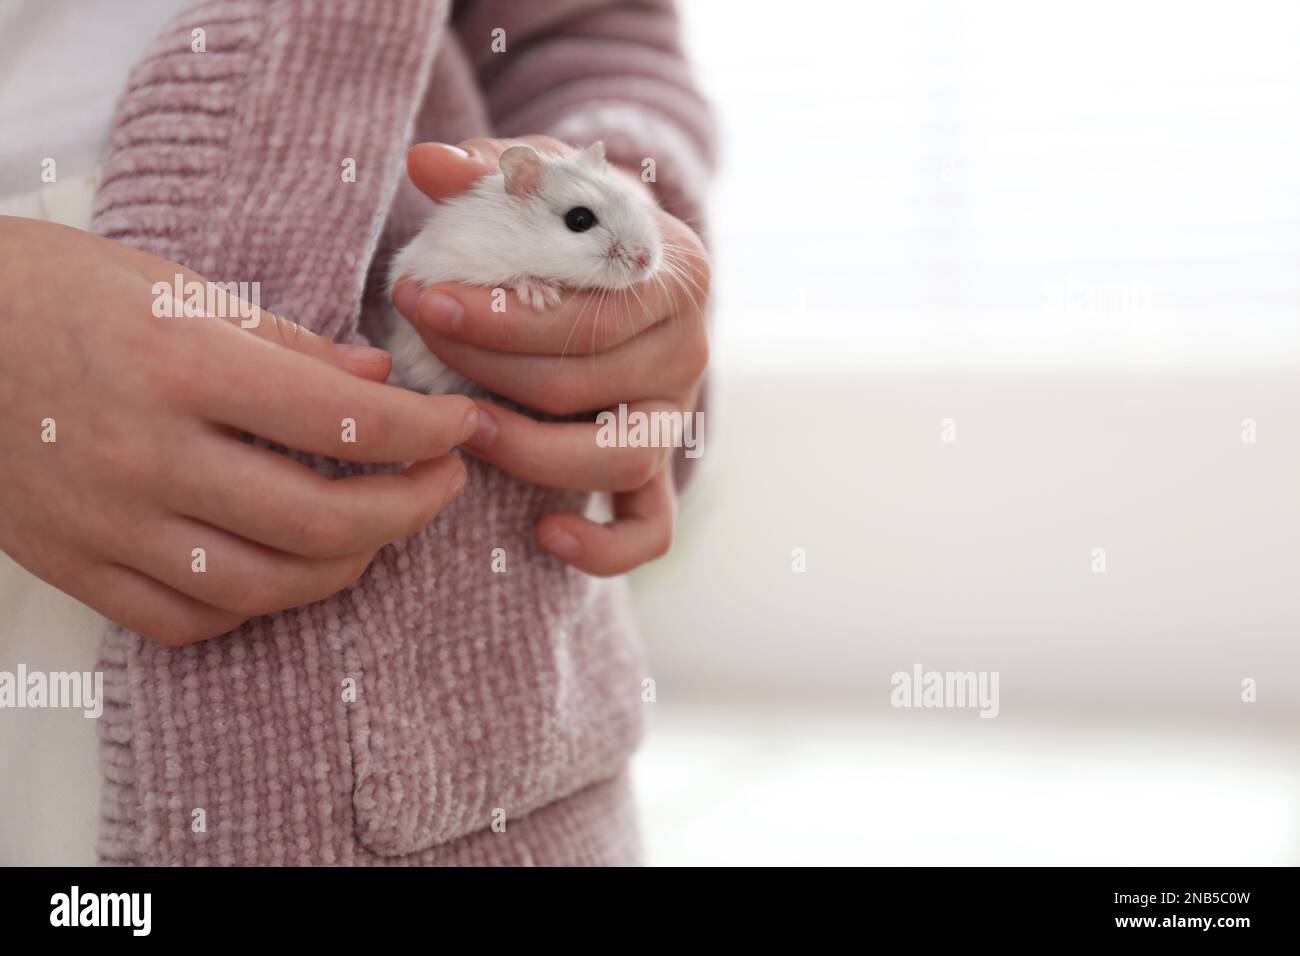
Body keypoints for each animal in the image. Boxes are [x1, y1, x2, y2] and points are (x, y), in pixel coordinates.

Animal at [385, 141, 664, 395]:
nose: (646, 260)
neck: (521, 239)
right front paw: (542, 295)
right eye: (579, 219)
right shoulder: (449, 262)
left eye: (630, 201)